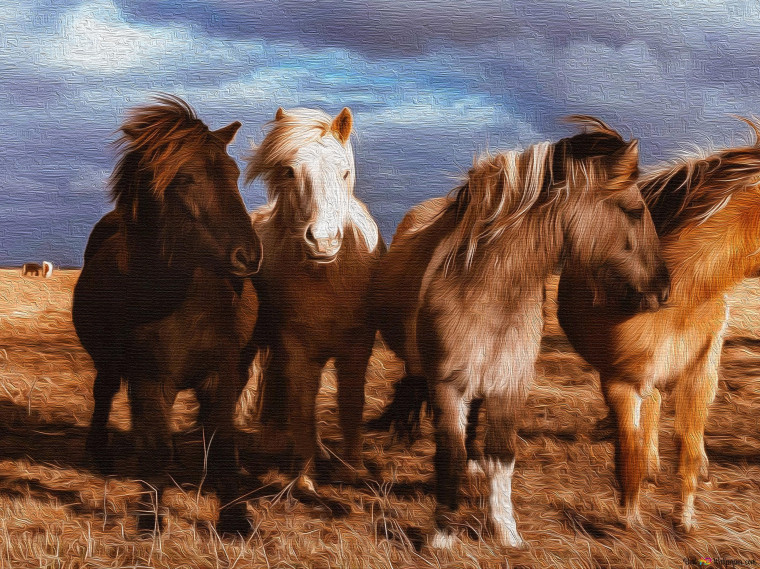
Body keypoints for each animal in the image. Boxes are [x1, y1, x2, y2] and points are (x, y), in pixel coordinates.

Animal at [72, 96, 261, 535]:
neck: (181, 302)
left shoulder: (221, 375)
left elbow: (223, 445)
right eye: (187, 178)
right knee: (104, 393)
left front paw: (235, 519)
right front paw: (150, 521)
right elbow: (155, 447)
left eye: (234, 173)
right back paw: (101, 456)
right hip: (112, 364)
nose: (248, 256)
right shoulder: (149, 380)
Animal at [246, 107, 384, 493]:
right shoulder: (297, 347)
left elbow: (350, 403)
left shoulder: (357, 346)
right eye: (289, 172)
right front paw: (304, 477)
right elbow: (303, 405)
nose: (322, 242)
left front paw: (353, 470)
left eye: (345, 171)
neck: (329, 278)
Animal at [369, 117, 670, 548]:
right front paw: (442, 535)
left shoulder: (510, 384)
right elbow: (449, 454)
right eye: (633, 211)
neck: (491, 292)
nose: (663, 289)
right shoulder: (447, 385)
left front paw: (507, 533)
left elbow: (502, 455)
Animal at [557, 119, 760, 532]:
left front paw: (685, 519)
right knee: (647, 418)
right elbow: (629, 447)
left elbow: (686, 443)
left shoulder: (700, 371)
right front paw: (631, 518)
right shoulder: (619, 381)